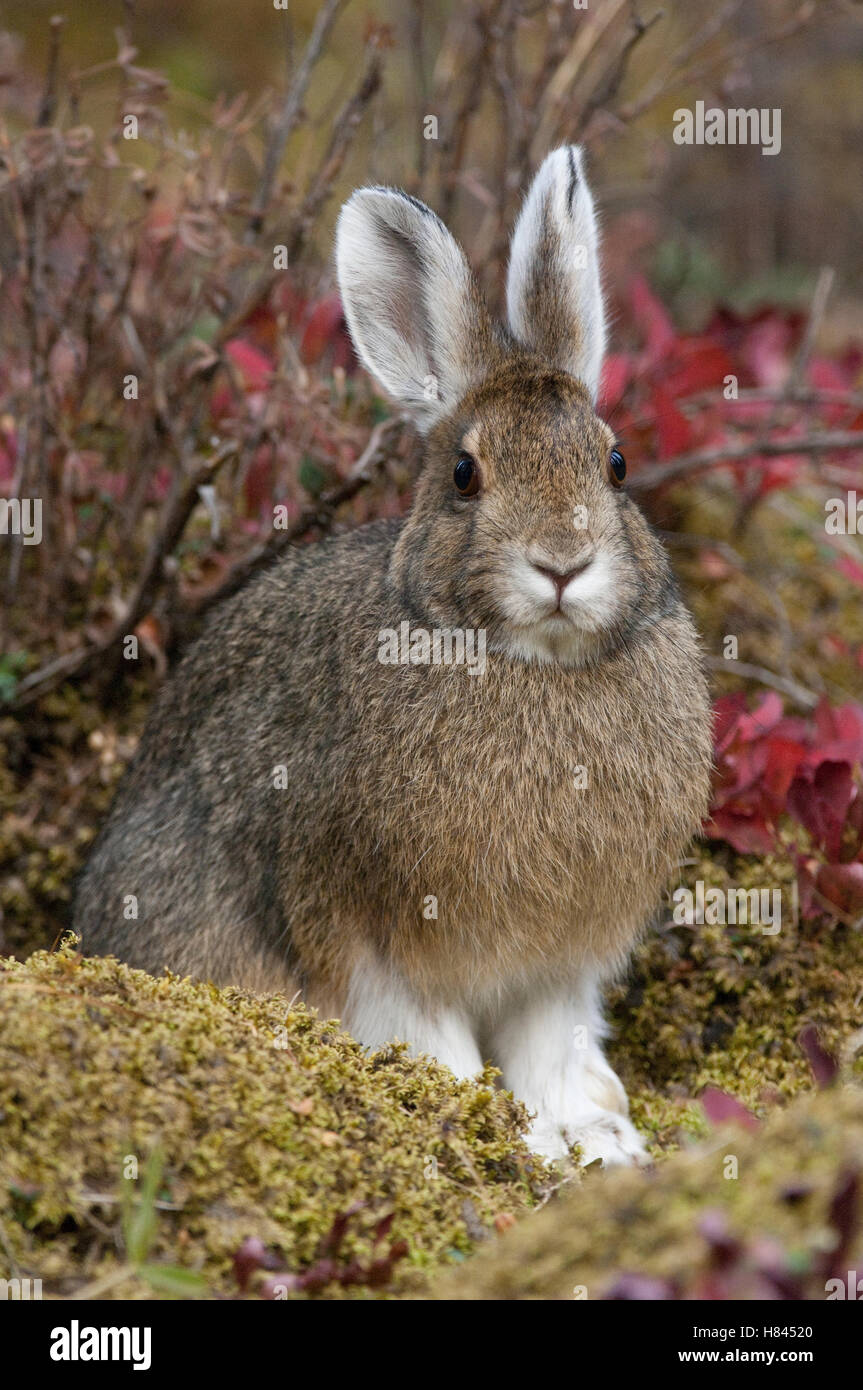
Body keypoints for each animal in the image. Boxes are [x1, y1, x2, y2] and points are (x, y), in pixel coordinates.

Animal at [75, 146, 713, 1166]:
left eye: (614, 465)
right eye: (464, 475)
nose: (563, 562)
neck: (532, 665)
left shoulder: (562, 961)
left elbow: (554, 1044)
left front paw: (593, 1141)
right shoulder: (368, 929)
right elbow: (422, 1033)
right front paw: (470, 1123)